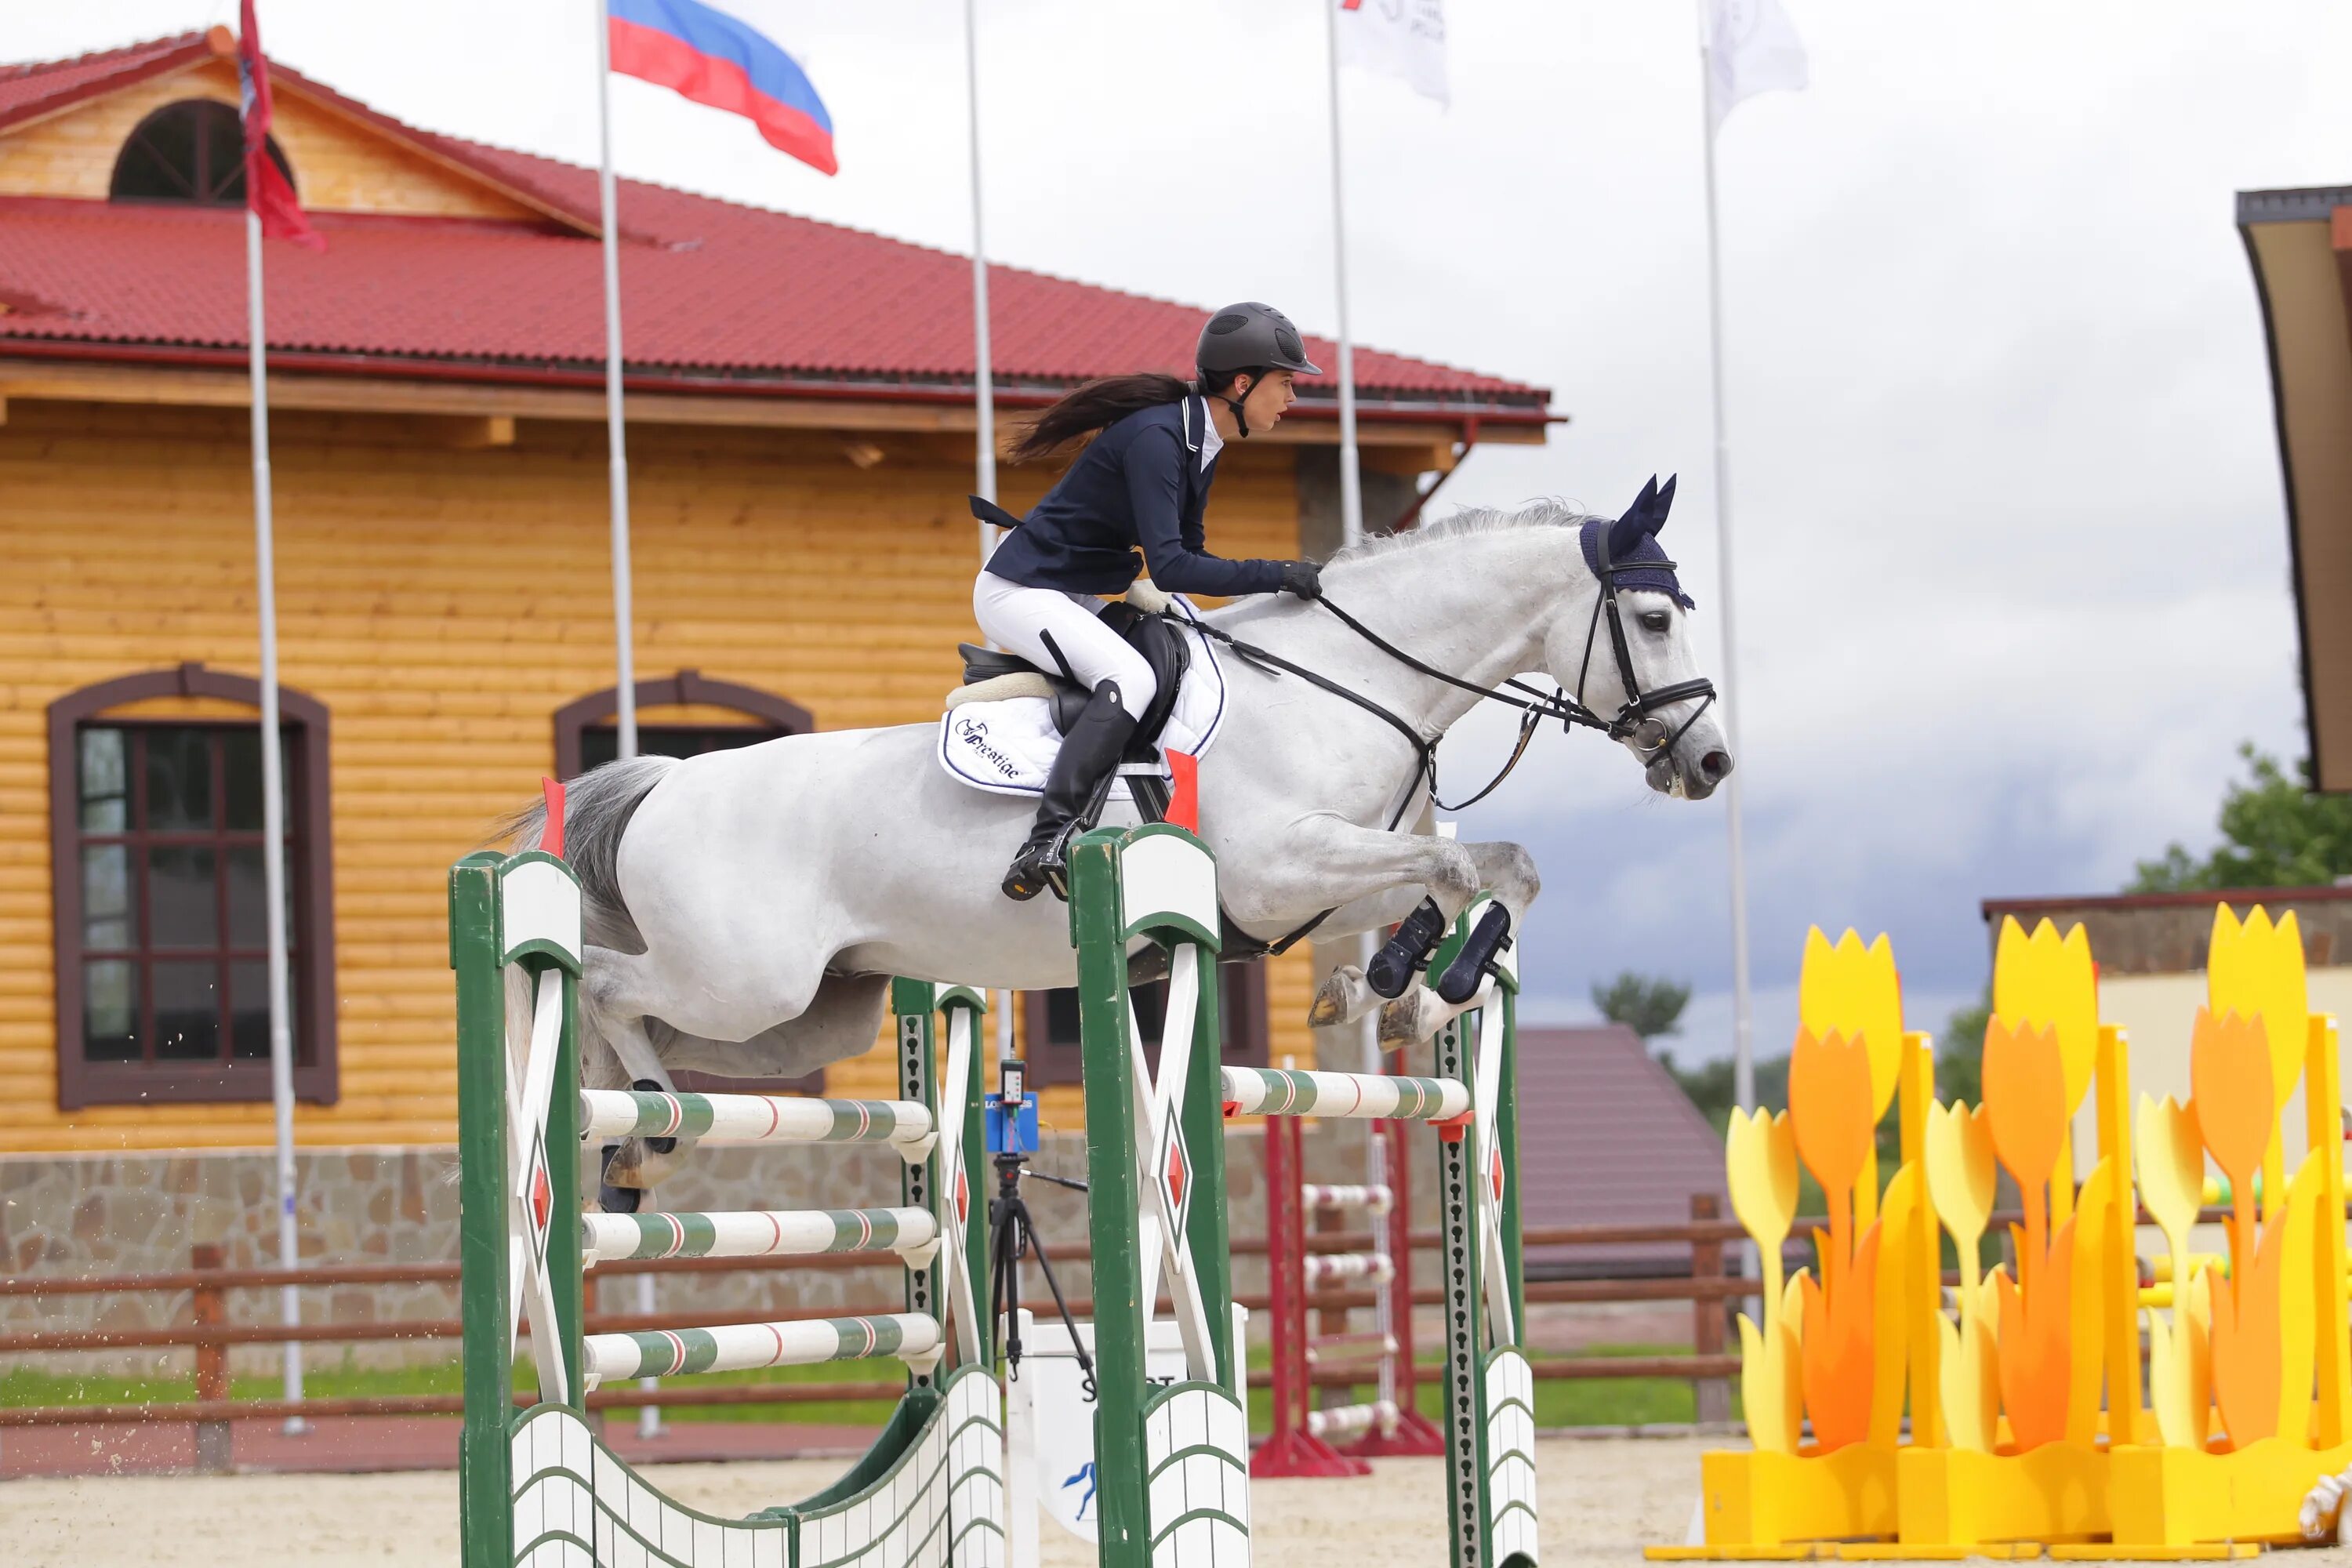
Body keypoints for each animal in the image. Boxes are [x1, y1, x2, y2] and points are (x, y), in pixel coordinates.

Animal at [510, 493, 1731, 1203]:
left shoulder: (1310, 886)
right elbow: (1457, 866)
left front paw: (1401, 989)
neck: (1351, 681)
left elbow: (1494, 870)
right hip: (743, 980)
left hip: (811, 1012)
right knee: (606, 984)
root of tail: (667, 780)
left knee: (644, 1013)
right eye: (1655, 620)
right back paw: (631, 1123)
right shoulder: (1273, 871)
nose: (1711, 763)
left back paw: (627, 1139)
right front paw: (1414, 981)